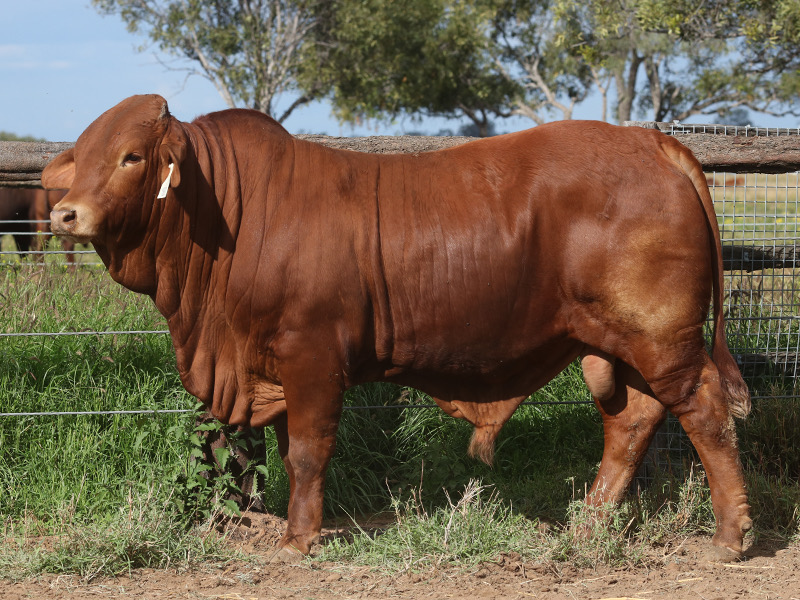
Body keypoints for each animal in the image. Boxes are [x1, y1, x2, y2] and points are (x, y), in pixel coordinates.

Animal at [42, 94, 752, 563]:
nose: (64, 214)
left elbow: (308, 451)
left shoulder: (311, 357)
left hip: (663, 339)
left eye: (132, 157)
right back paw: (590, 523)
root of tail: (652, 142)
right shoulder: (265, 369)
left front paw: (298, 541)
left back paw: (729, 536)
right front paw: (280, 525)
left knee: (706, 413)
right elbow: (273, 453)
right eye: (82, 155)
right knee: (631, 420)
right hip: (617, 345)